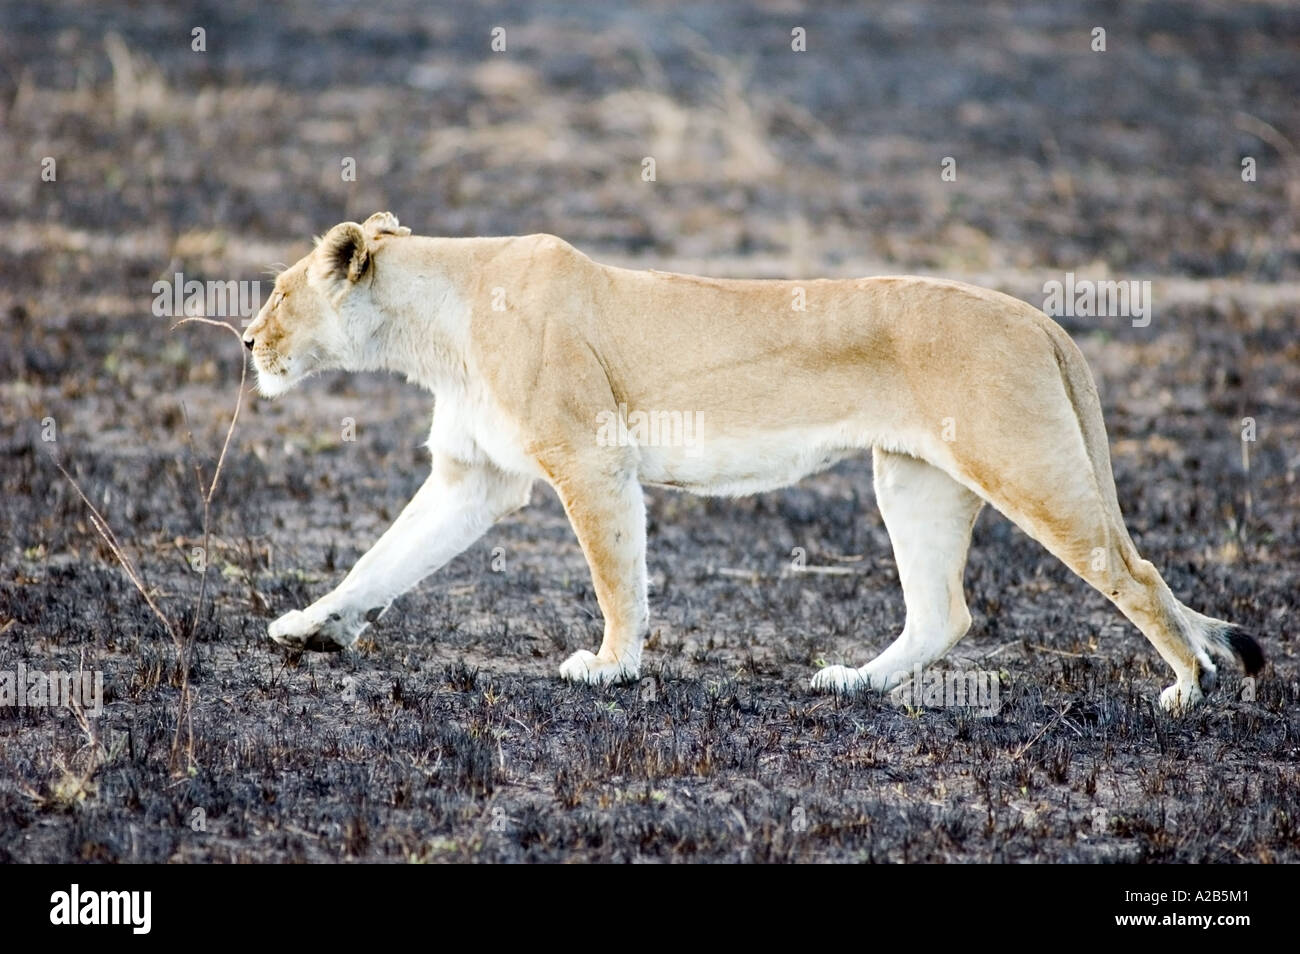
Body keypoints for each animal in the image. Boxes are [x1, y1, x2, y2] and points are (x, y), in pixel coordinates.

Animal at [242, 211, 1263, 712]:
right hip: (913, 479)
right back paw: (855, 683)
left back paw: (1187, 689)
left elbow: (617, 576)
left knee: (1136, 572)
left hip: (1026, 469)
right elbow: (384, 558)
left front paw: (609, 667)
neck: (435, 329)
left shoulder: (588, 456)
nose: (247, 341)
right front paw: (313, 627)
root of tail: (1039, 317)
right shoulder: (473, 477)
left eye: (282, 292)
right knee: (945, 611)